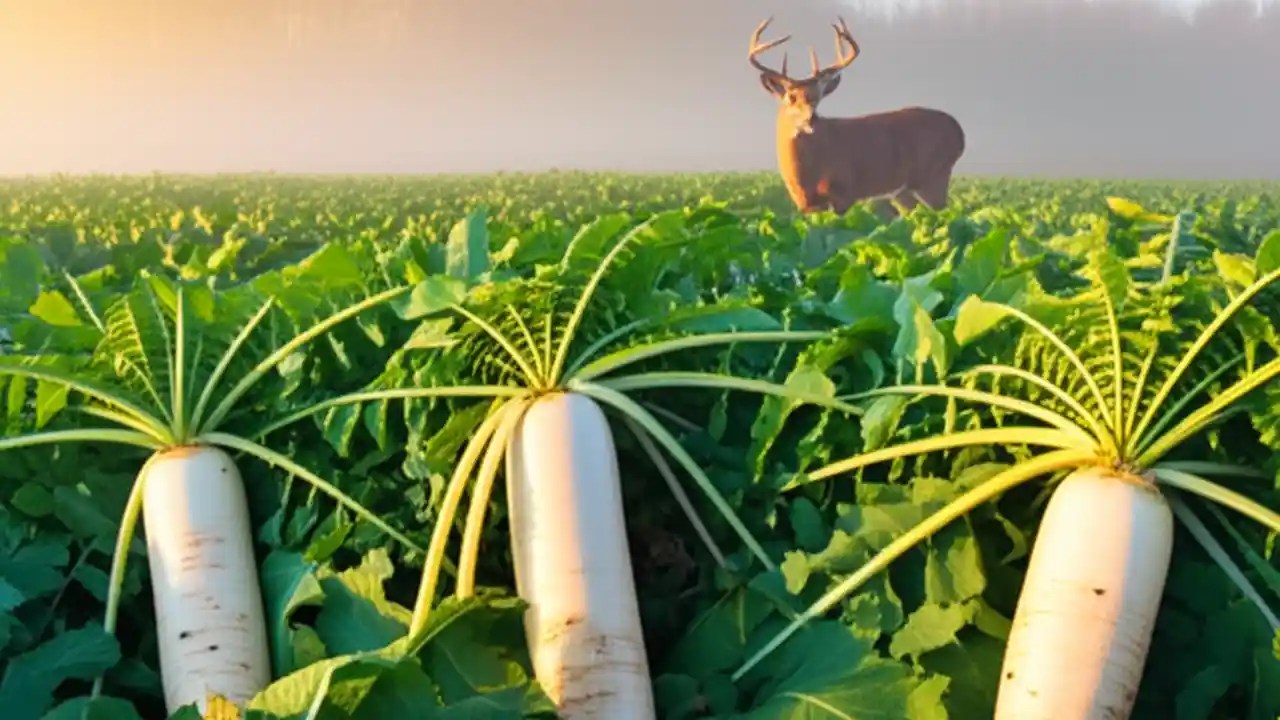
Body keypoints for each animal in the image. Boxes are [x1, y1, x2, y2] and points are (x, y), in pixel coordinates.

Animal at [748, 16, 966, 217]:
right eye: (791, 97)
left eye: (818, 96)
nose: (811, 118)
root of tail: (959, 131)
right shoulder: (808, 206)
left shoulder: (845, 192)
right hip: (902, 192)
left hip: (934, 176)